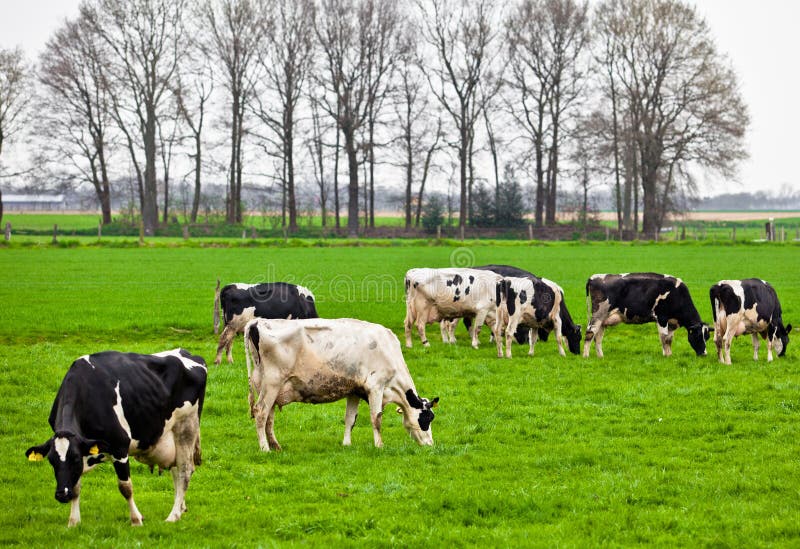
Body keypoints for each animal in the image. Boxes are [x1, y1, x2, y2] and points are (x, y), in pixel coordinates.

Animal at [25, 349, 207, 527]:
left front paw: (136, 520)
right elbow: (76, 487)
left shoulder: (119, 447)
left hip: (186, 426)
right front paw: (73, 522)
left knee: (184, 471)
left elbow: (125, 487)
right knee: (175, 470)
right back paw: (181, 508)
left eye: (75, 458)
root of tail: (189, 354)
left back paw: (173, 515)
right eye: (51, 460)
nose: (62, 495)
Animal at [244, 317, 438, 451]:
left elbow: (350, 419)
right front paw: (379, 445)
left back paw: (275, 445)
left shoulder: (354, 390)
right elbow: (376, 419)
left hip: (266, 386)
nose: (431, 444)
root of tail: (257, 322)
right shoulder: (376, 387)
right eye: (428, 418)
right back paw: (265, 448)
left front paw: (346, 444)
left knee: (269, 417)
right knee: (261, 412)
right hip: (272, 383)